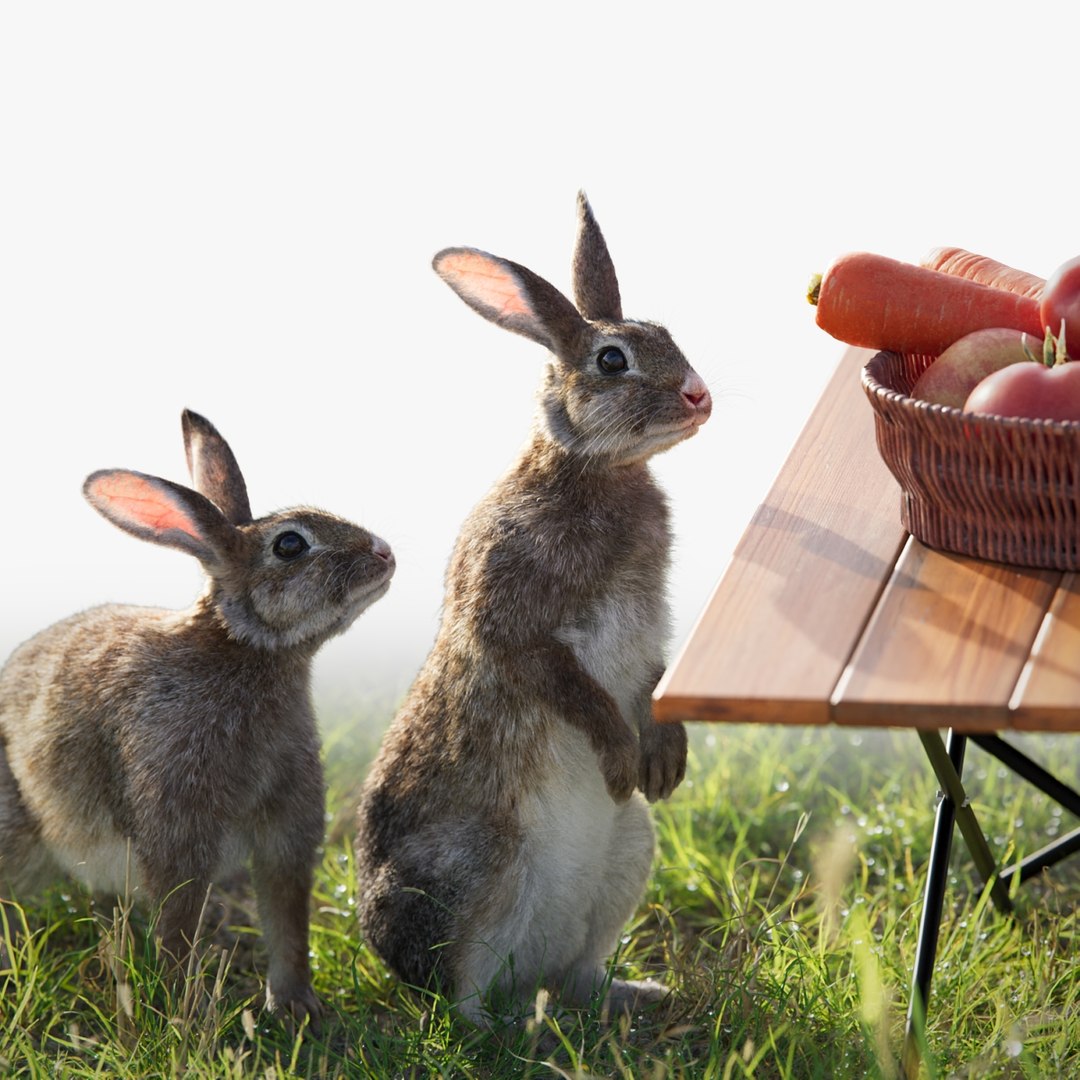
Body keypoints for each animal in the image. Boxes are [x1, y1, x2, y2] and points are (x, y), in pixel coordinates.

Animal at [0, 409, 395, 1026]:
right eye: (289, 544)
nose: (384, 552)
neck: (249, 653)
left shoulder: (287, 825)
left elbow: (287, 918)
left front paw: (296, 1006)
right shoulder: (177, 826)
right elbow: (179, 926)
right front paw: (187, 1016)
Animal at [354, 192, 711, 1023]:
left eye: (666, 334)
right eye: (612, 361)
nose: (698, 395)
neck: (592, 469)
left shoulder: (649, 631)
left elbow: (654, 674)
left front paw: (663, 760)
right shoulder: (511, 623)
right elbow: (568, 684)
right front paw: (622, 756)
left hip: (629, 848)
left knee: (577, 971)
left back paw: (631, 998)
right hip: (479, 869)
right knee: (462, 1000)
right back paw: (518, 1028)